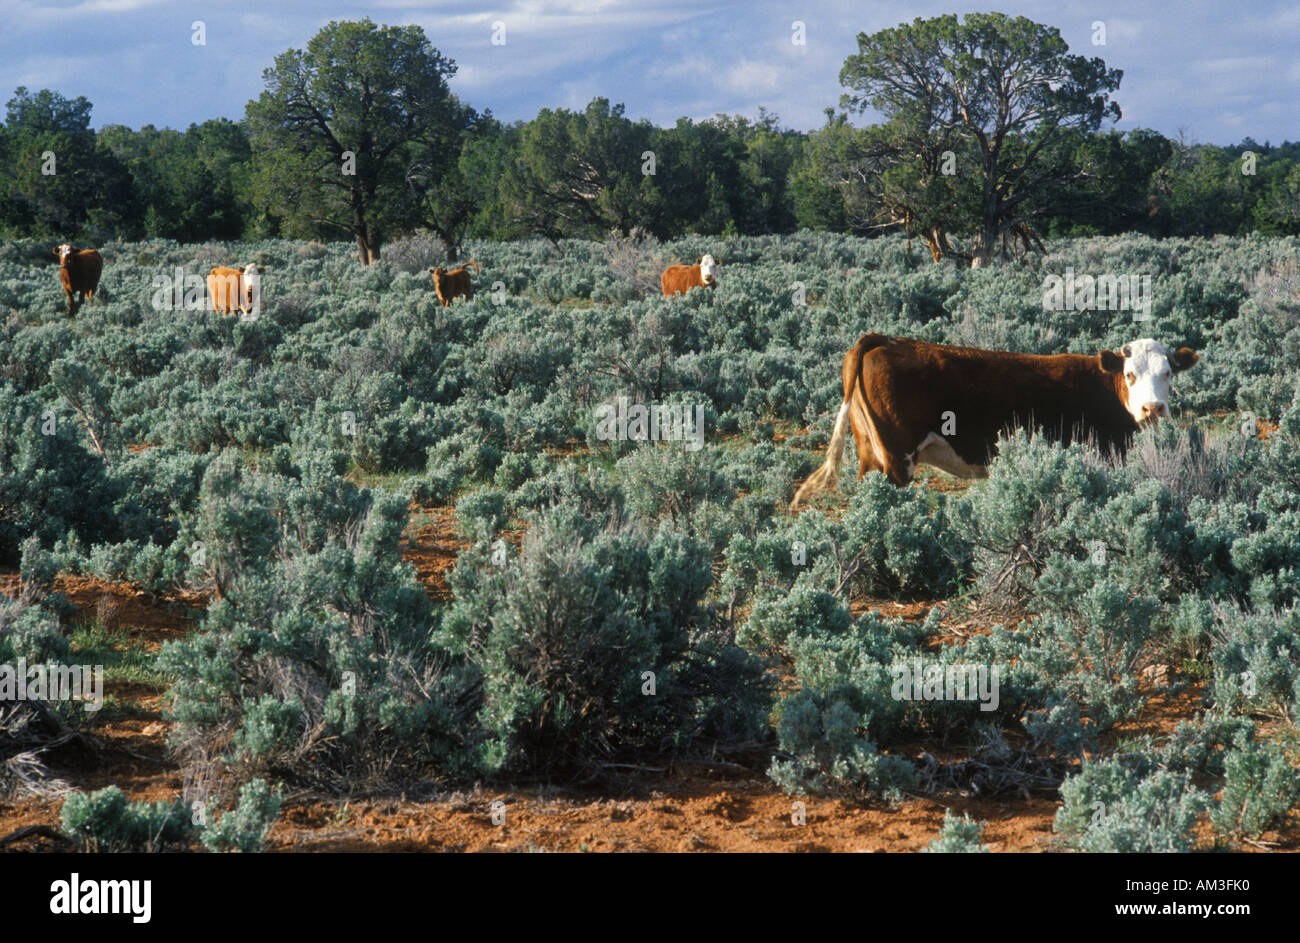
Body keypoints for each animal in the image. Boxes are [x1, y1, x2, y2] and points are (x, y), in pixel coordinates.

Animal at [789, 334, 1199, 509]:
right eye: (1130, 374)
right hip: (895, 457)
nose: (1152, 409)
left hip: (871, 452)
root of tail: (883, 340)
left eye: (1167, 373)